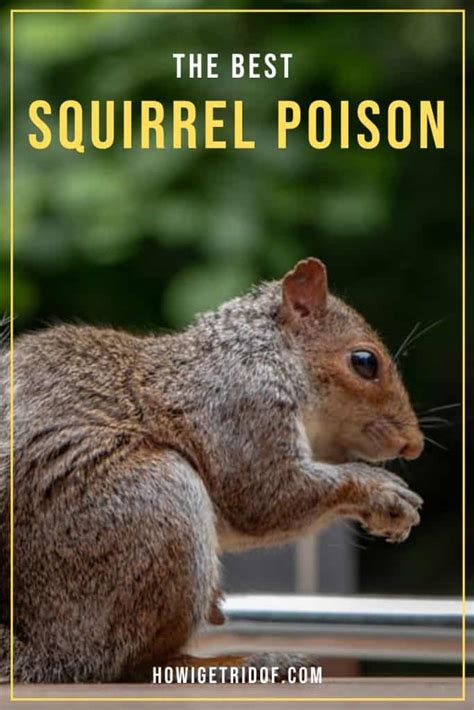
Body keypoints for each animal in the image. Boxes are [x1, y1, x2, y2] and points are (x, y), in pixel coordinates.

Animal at [0, 257, 424, 683]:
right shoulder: (242, 406)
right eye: (364, 362)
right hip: (152, 500)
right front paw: (382, 491)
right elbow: (267, 497)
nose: (414, 444)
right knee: (136, 664)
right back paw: (242, 662)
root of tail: (45, 646)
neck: (264, 353)